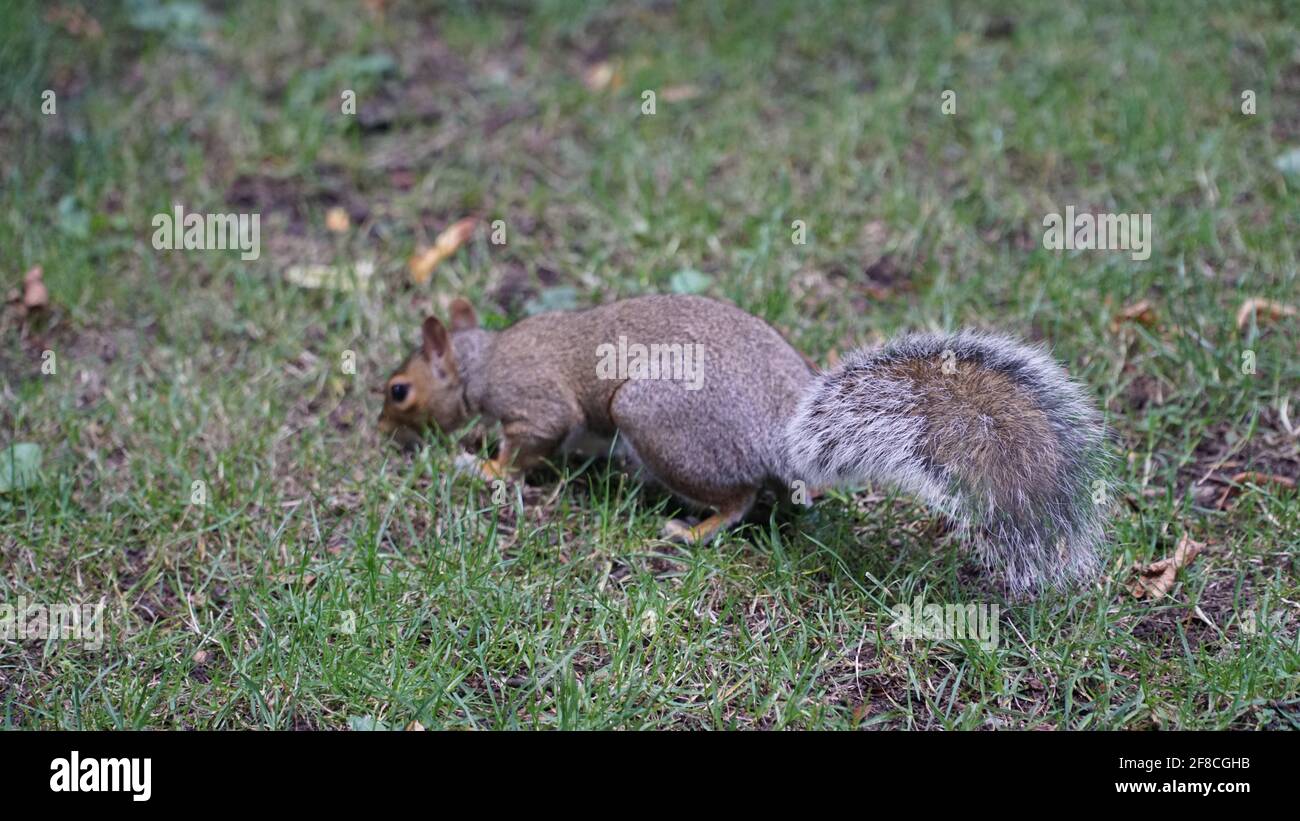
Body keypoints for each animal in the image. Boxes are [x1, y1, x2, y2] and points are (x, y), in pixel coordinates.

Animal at [379, 294, 1110, 598]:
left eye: (398, 390)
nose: (383, 428)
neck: (481, 360)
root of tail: (782, 437)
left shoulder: (534, 404)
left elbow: (531, 442)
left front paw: (481, 465)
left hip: (652, 420)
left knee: (738, 499)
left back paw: (692, 529)